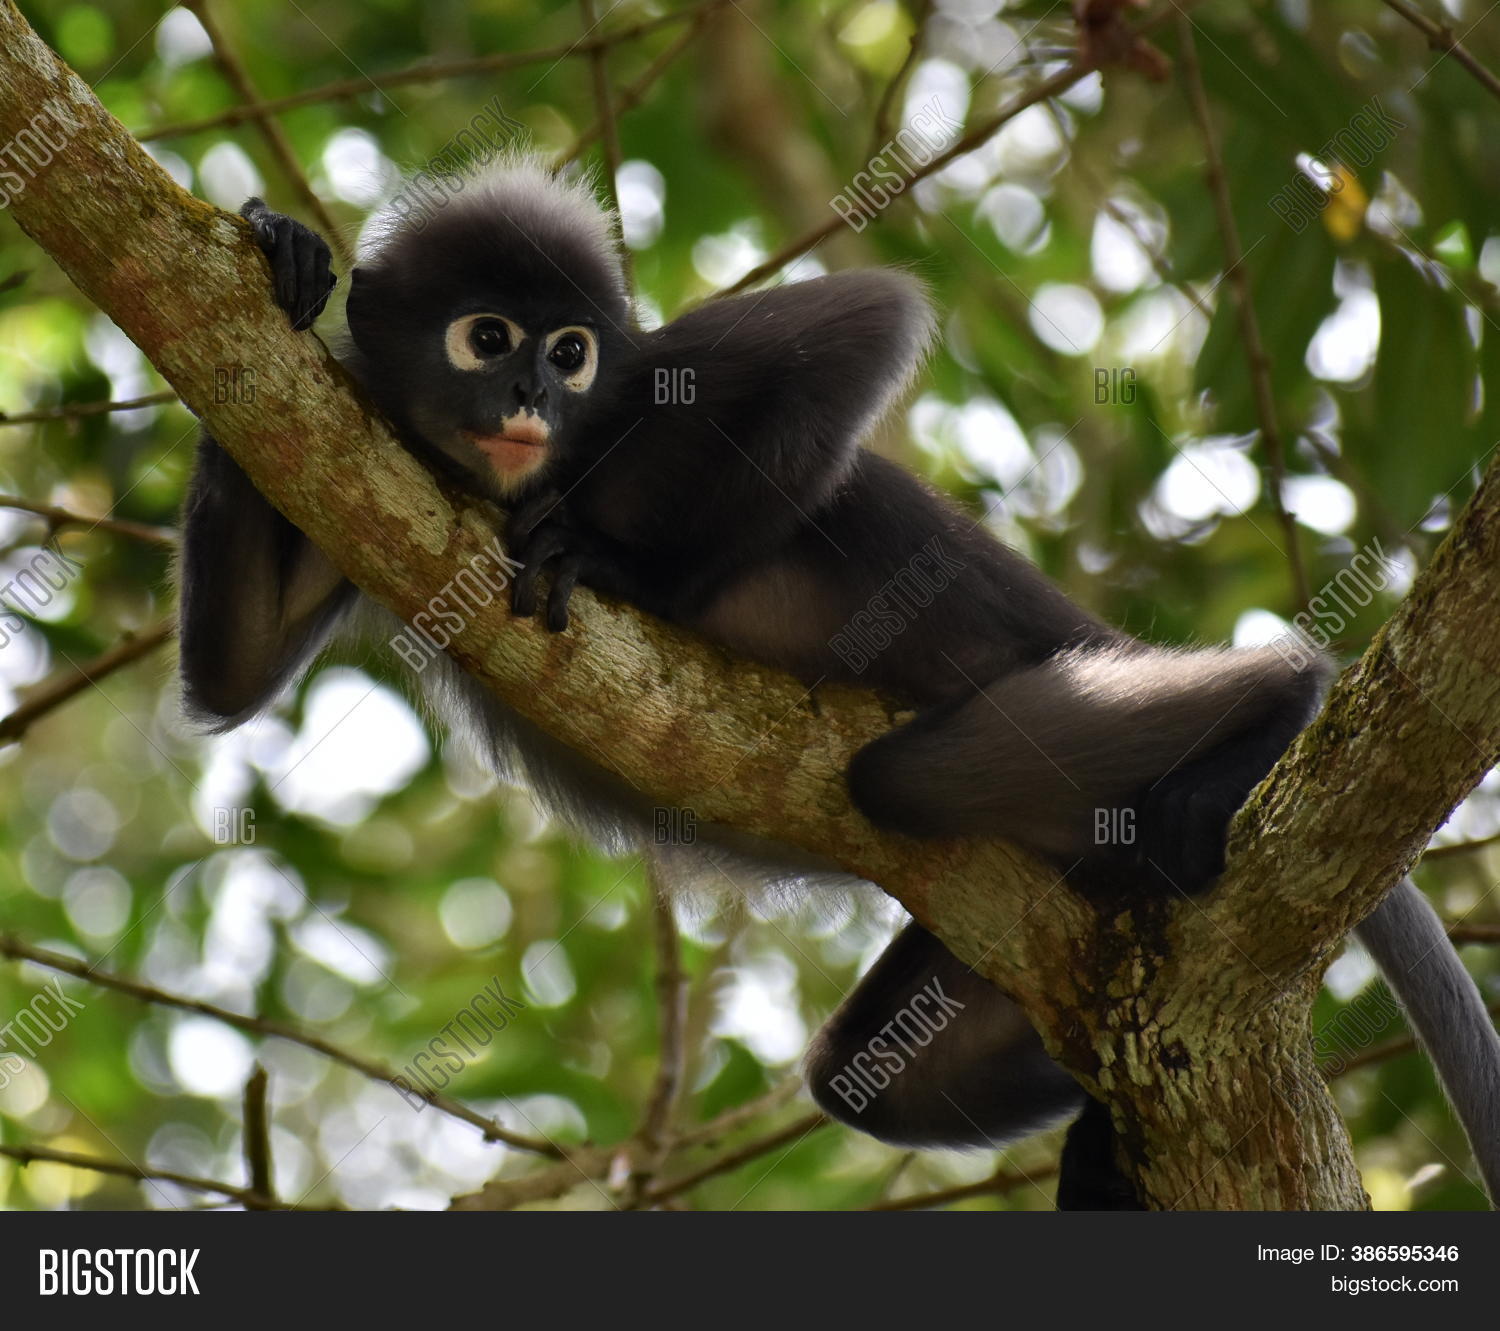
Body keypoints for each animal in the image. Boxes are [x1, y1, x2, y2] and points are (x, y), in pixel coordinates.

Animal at [178, 159, 1500, 1208]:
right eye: (488, 337)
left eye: (571, 352)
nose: (530, 400)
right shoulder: (354, 455)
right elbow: (236, 673)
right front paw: (287, 256)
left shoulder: (666, 369)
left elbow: (863, 320)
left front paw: (610, 561)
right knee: (874, 1081)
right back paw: (1107, 1136)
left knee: (905, 775)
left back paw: (1281, 701)